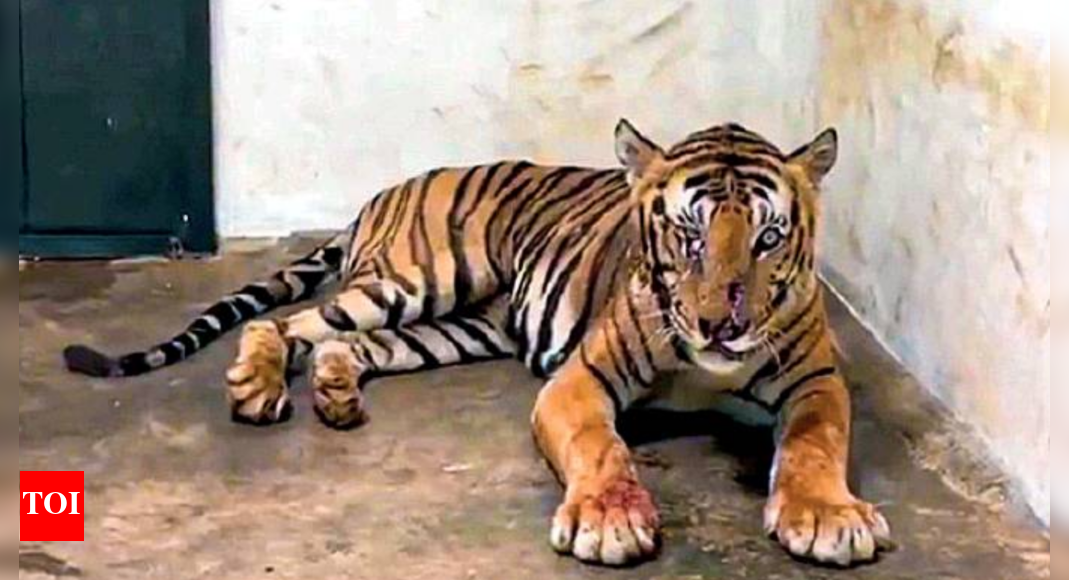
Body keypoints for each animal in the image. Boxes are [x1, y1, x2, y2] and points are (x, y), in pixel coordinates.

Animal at [65, 121, 892, 568]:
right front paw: (608, 520)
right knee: (284, 322)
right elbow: (601, 447)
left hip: (460, 325)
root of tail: (380, 193)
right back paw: (257, 388)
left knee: (354, 345)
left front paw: (828, 516)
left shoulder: (816, 378)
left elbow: (815, 442)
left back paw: (334, 393)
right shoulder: (582, 378)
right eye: (688, 237)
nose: (722, 326)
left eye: (766, 239)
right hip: (416, 279)